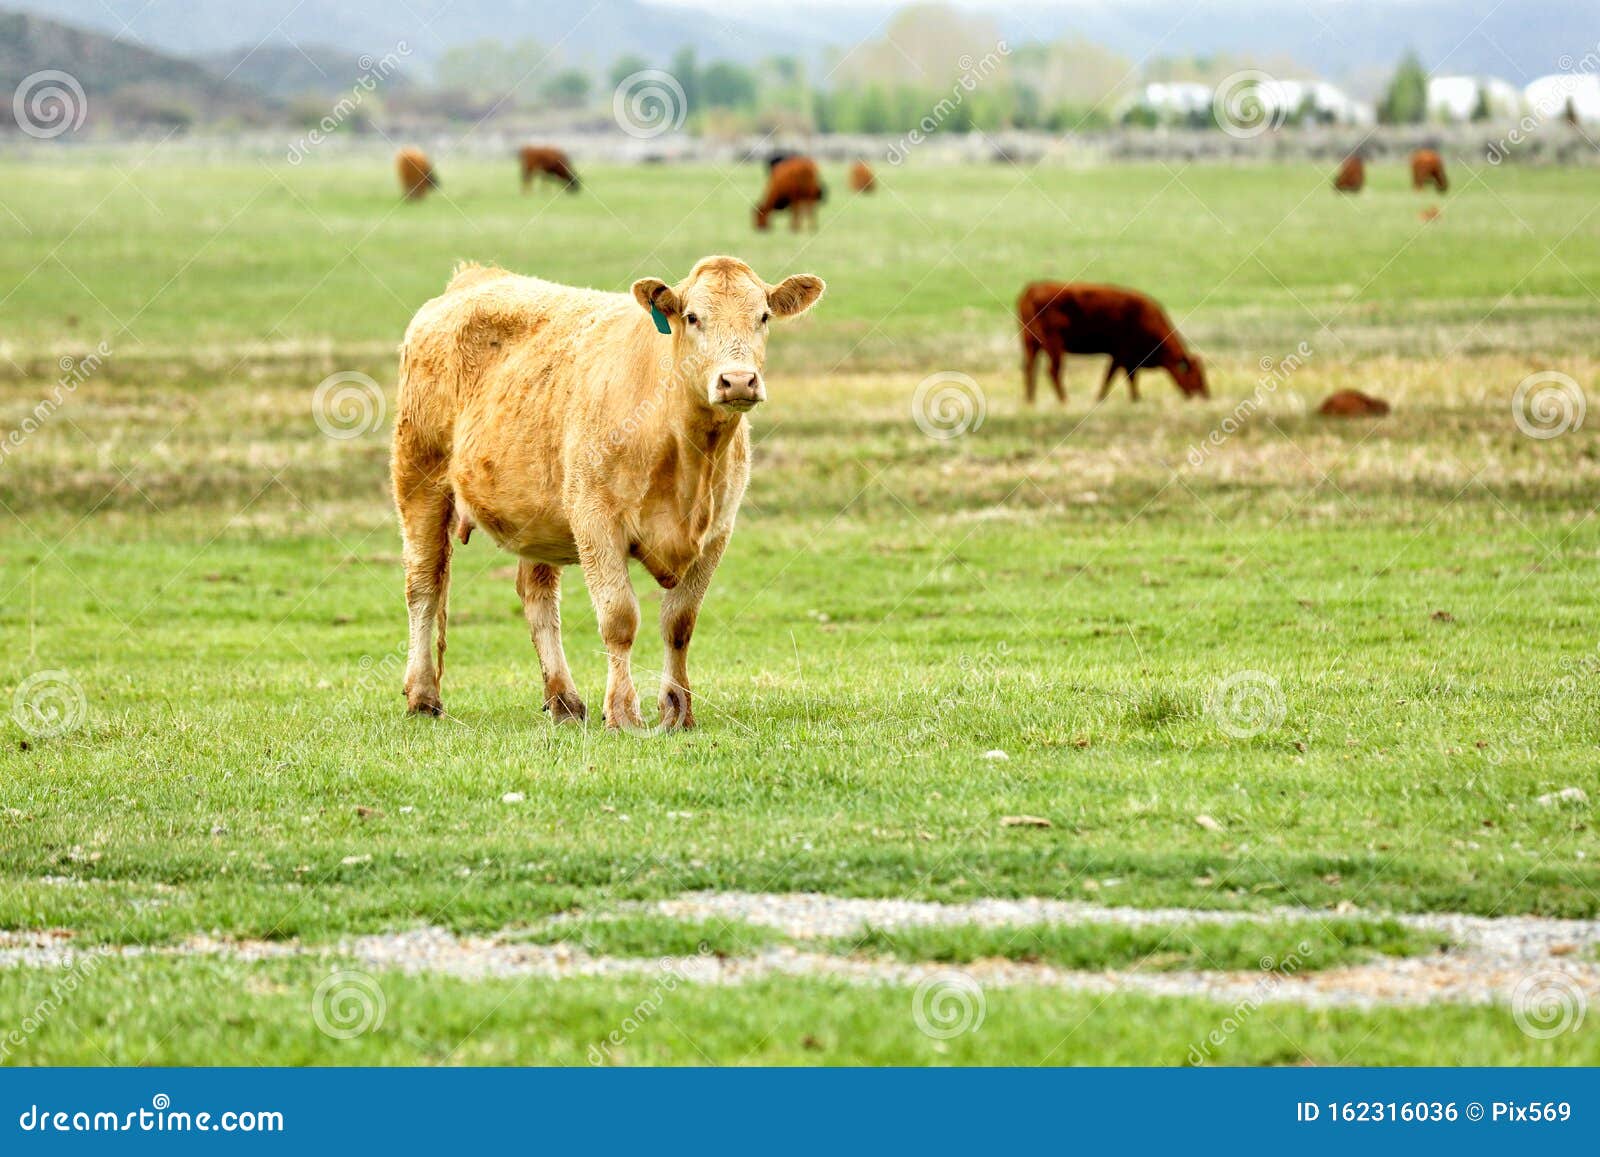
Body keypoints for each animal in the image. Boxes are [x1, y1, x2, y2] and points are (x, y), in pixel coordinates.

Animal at [390, 256, 825, 730]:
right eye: (693, 317)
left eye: (762, 317)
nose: (739, 381)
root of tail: (475, 278)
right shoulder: (596, 521)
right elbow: (619, 618)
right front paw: (621, 711)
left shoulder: (716, 533)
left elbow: (679, 622)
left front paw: (677, 710)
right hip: (419, 478)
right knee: (423, 586)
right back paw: (422, 695)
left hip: (536, 516)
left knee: (537, 597)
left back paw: (563, 699)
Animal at [1017, 282, 1207, 403]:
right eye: (1196, 375)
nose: (1206, 396)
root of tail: (1031, 289)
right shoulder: (1122, 355)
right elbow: (1116, 377)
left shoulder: (1123, 358)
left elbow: (1123, 377)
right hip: (1053, 346)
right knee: (1052, 371)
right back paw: (1064, 400)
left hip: (1031, 344)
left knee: (1029, 368)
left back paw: (1029, 400)